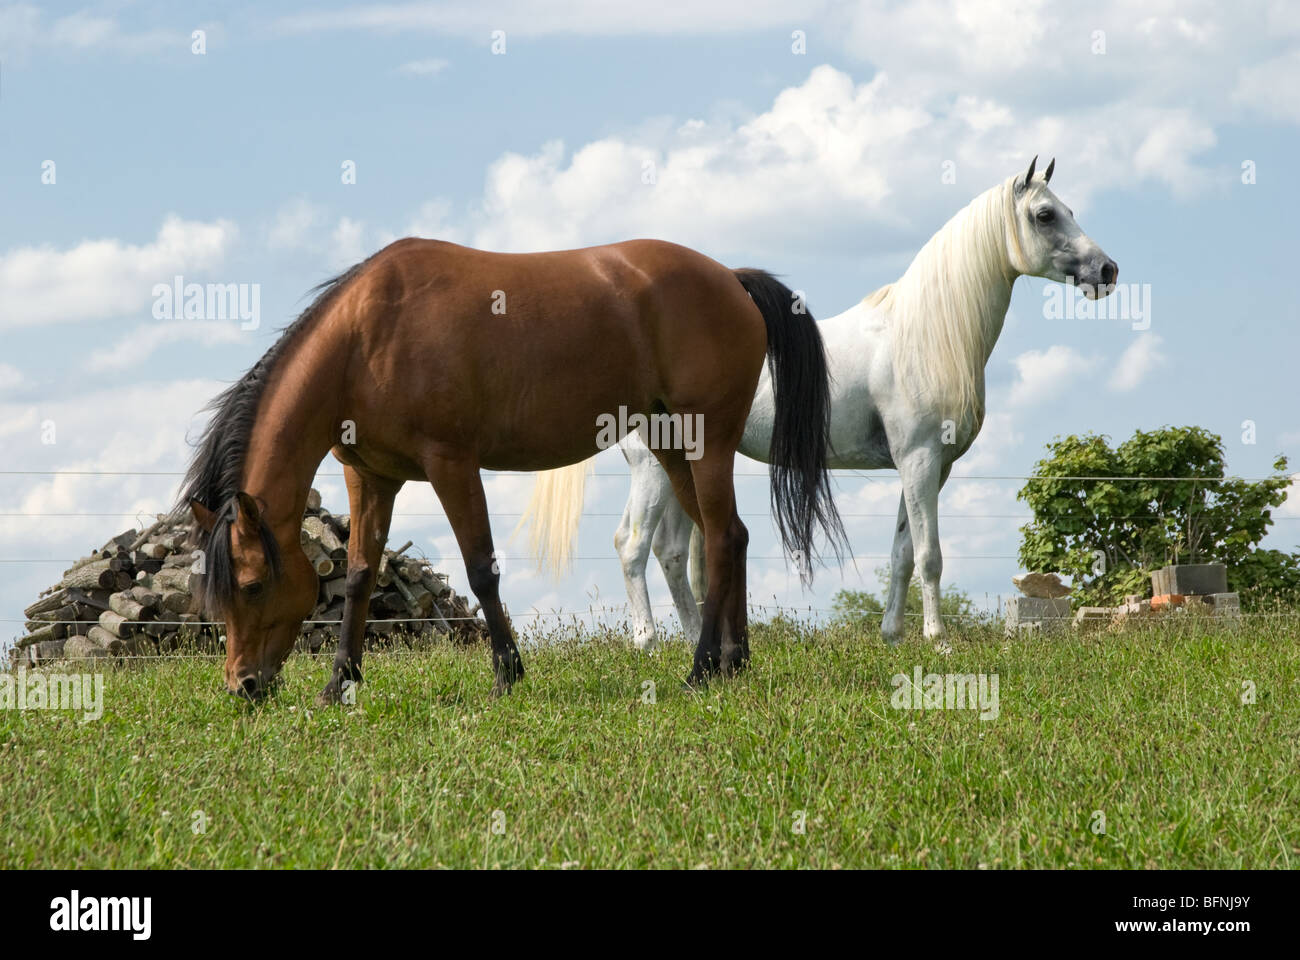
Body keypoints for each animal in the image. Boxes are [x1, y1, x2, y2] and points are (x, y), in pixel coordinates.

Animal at [178, 237, 845, 702]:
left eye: (252, 585)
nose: (244, 687)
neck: (367, 337)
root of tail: (731, 279)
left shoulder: (452, 464)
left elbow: (481, 568)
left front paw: (507, 674)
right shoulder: (370, 478)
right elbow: (361, 574)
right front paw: (339, 683)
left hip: (704, 445)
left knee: (725, 538)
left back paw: (702, 668)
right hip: (671, 447)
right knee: (729, 537)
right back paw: (734, 661)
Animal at [520, 158, 1118, 648]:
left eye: (1069, 210)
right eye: (1045, 215)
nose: (1107, 271)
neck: (920, 333)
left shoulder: (926, 468)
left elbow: (902, 554)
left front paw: (893, 636)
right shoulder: (920, 460)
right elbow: (930, 556)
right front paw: (938, 640)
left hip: (680, 467)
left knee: (668, 551)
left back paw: (692, 640)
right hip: (652, 469)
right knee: (632, 544)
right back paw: (646, 643)